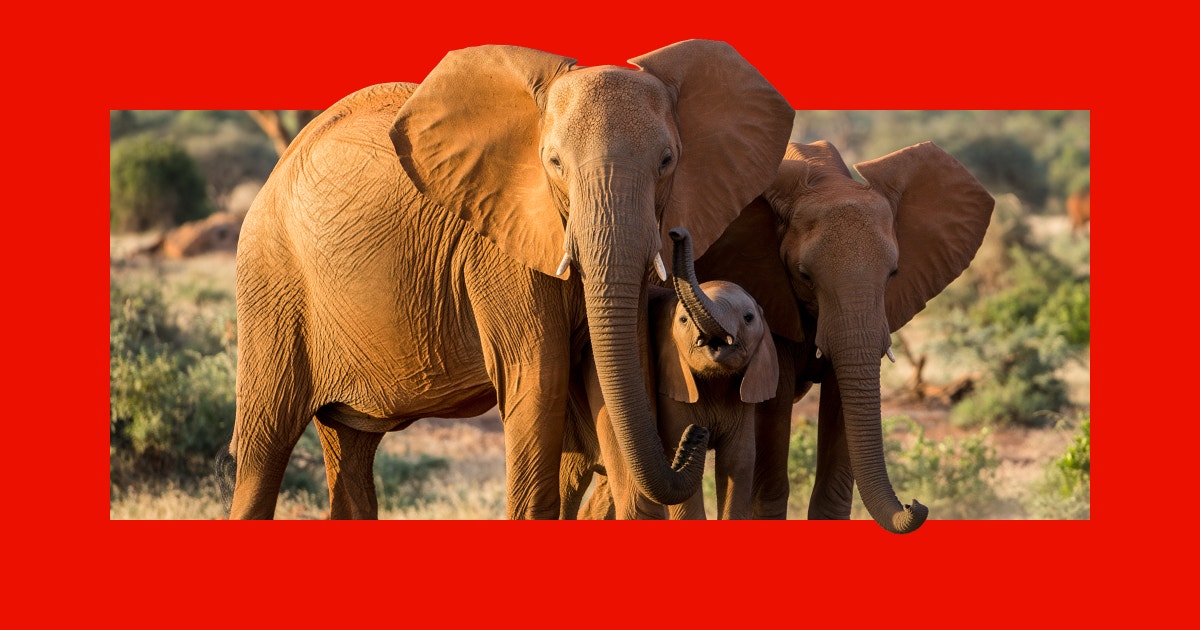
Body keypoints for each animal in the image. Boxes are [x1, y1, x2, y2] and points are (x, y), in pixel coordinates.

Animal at [559, 227, 779, 520]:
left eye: (749, 318)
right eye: (684, 320)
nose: (676, 233)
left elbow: (738, 461)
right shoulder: (672, 388)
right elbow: (677, 452)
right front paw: (687, 439)